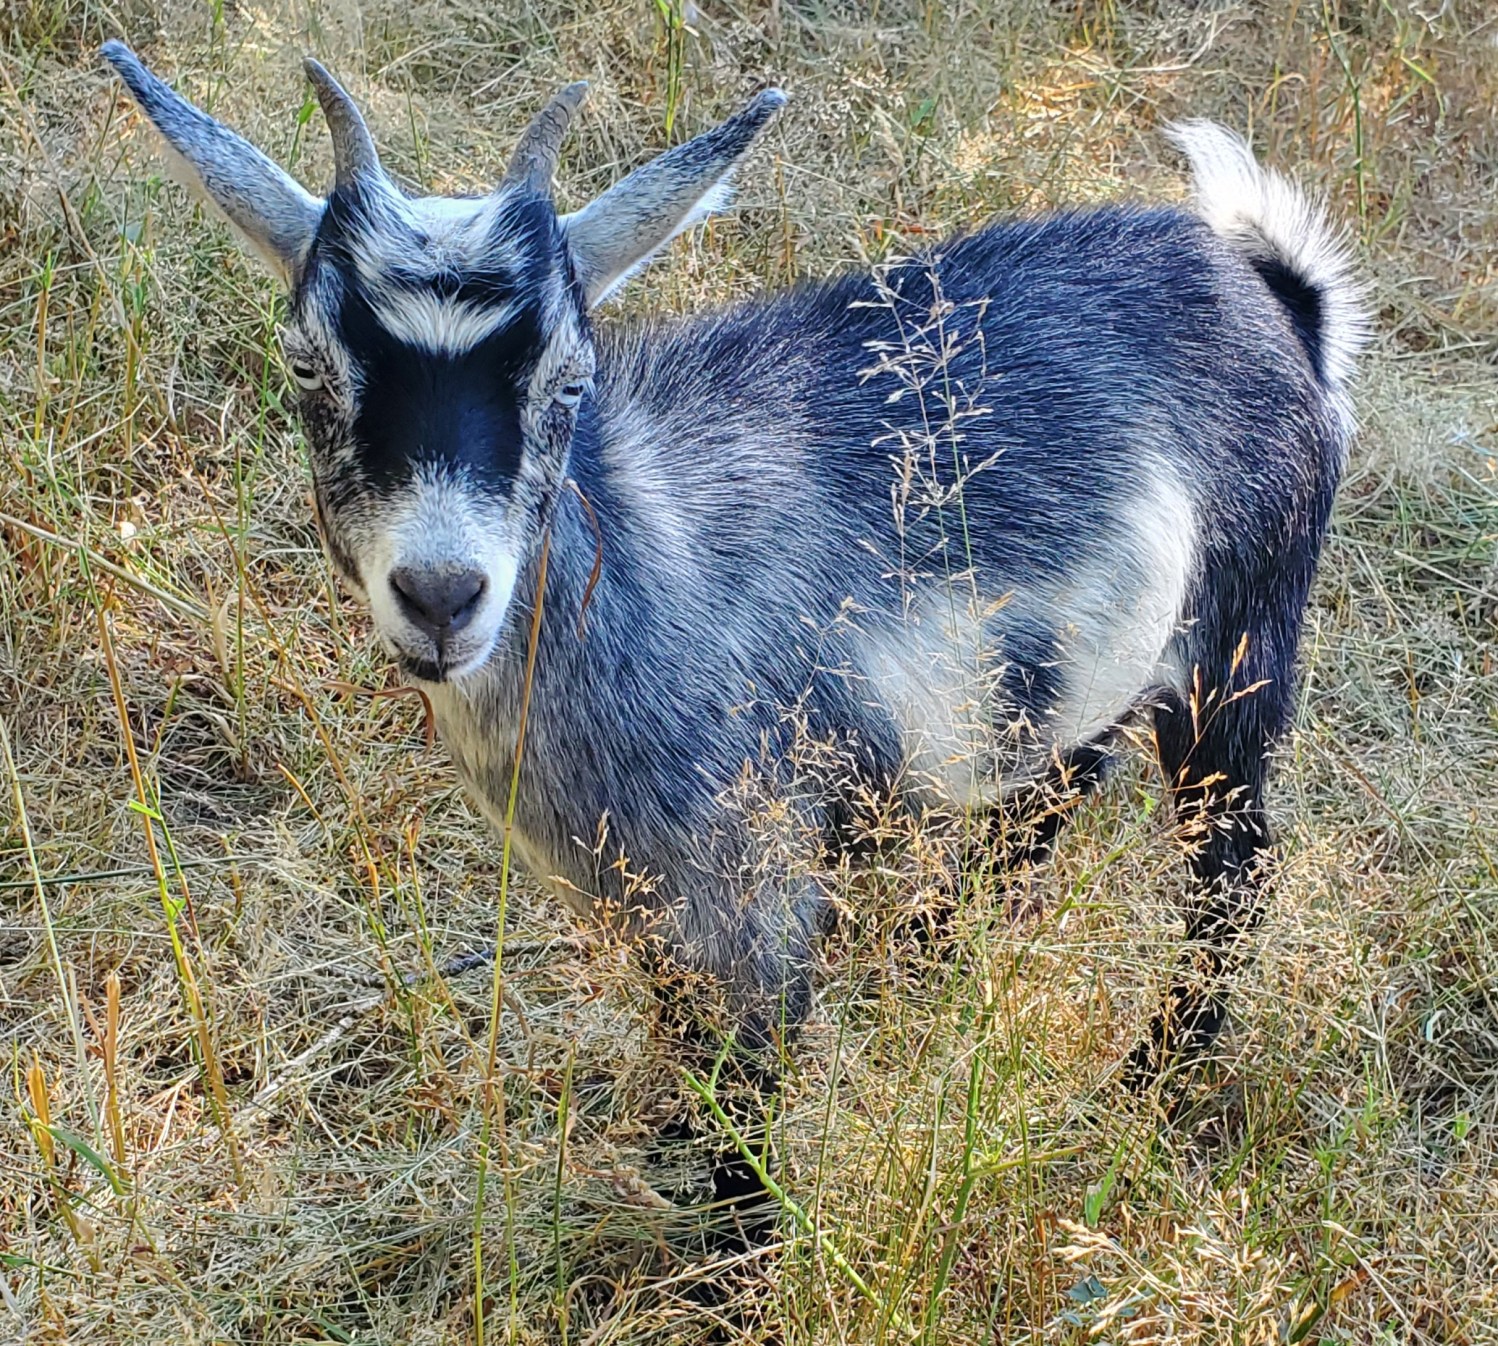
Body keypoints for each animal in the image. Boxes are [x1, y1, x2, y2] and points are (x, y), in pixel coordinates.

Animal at [103, 44, 1365, 1218]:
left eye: (570, 379)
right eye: (306, 368)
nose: (443, 591)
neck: (640, 566)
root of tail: (1268, 292)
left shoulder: (746, 891)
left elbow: (747, 1129)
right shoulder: (652, 905)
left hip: (1241, 639)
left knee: (1231, 864)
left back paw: (1145, 1083)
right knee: (1051, 791)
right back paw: (930, 980)